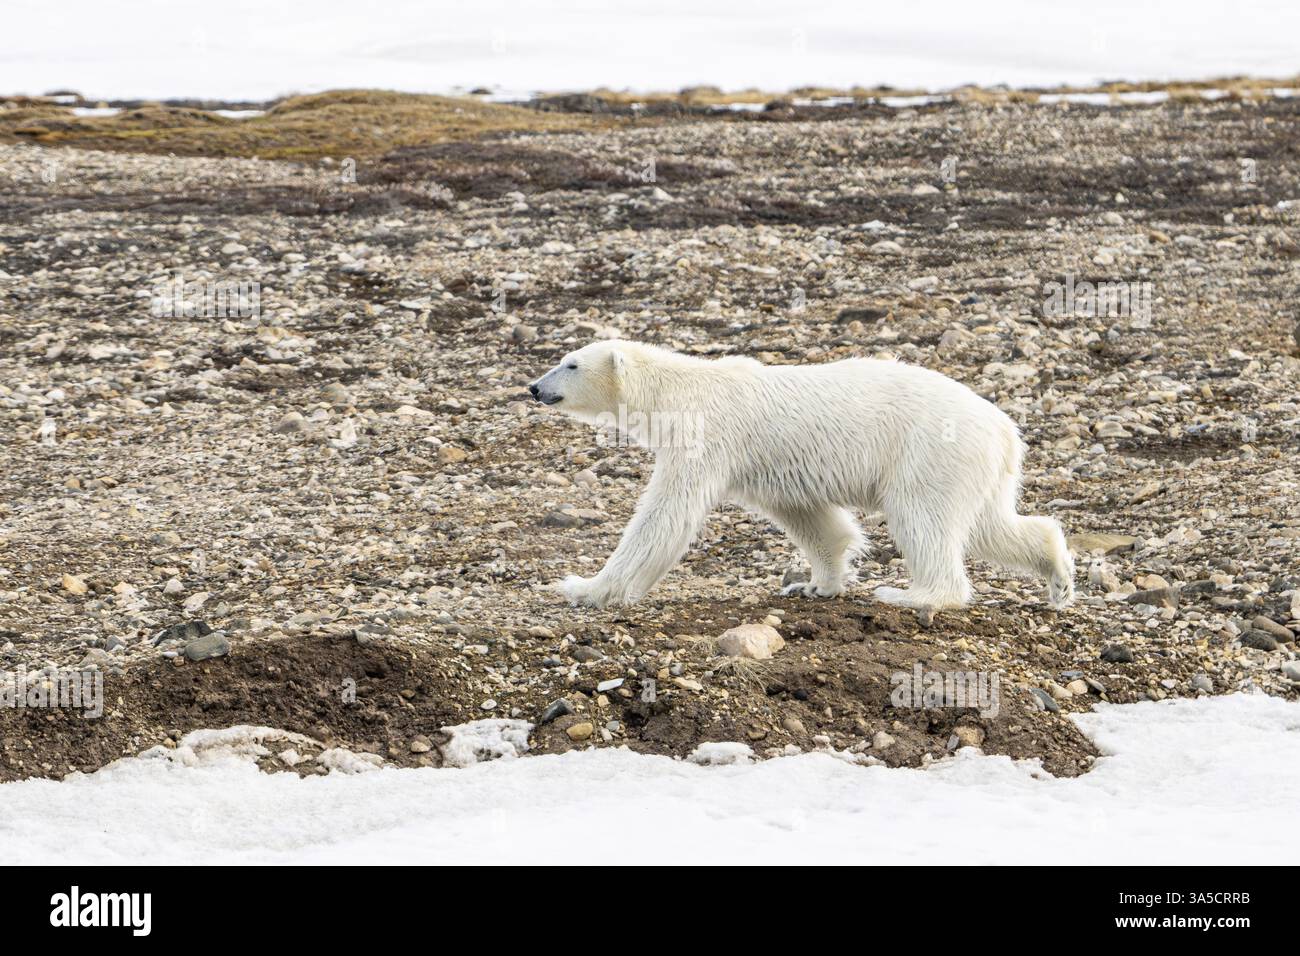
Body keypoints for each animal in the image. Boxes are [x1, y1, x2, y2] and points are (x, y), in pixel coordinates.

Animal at [528, 339, 1074, 613]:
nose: (534, 387)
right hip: (977, 466)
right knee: (992, 525)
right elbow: (812, 518)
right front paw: (814, 586)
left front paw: (585, 587)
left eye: (570, 363)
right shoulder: (766, 462)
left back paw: (911, 594)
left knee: (926, 519)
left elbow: (665, 516)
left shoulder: (706, 437)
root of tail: (1004, 429)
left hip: (932, 451)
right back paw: (1059, 578)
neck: (677, 389)